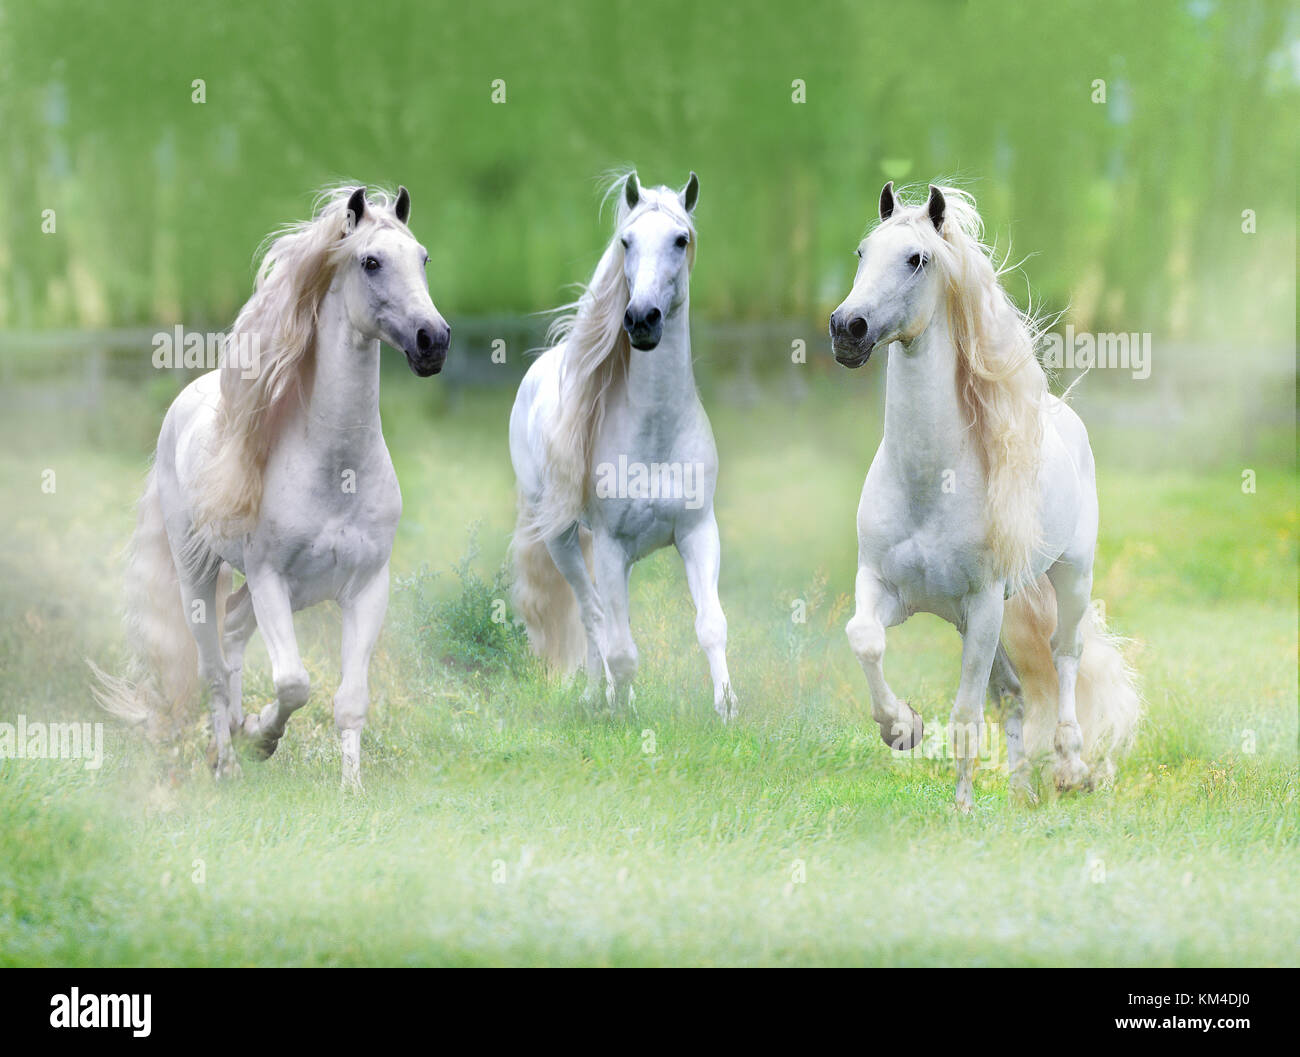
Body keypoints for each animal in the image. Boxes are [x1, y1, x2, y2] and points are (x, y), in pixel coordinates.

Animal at [91, 185, 449, 788]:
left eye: (422, 258)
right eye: (370, 262)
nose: (434, 340)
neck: (337, 471)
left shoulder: (366, 587)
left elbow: (350, 699)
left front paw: (351, 788)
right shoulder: (269, 578)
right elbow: (294, 683)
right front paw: (263, 737)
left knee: (234, 633)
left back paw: (236, 733)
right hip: (200, 576)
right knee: (213, 665)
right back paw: (228, 761)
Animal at [509, 171, 737, 719]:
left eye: (680, 239)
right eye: (626, 241)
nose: (641, 319)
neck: (655, 435)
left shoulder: (698, 532)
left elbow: (711, 624)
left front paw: (726, 710)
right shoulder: (612, 547)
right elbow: (620, 646)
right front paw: (624, 712)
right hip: (563, 538)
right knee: (593, 616)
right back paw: (601, 697)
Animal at [829, 181, 1140, 810]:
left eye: (917, 258)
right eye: (861, 253)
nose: (847, 328)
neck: (928, 486)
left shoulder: (984, 603)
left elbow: (967, 714)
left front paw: (962, 807)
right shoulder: (886, 587)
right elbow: (865, 639)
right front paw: (903, 728)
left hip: (1067, 580)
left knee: (1064, 656)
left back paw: (1070, 768)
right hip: (974, 620)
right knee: (1016, 692)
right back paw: (1021, 790)